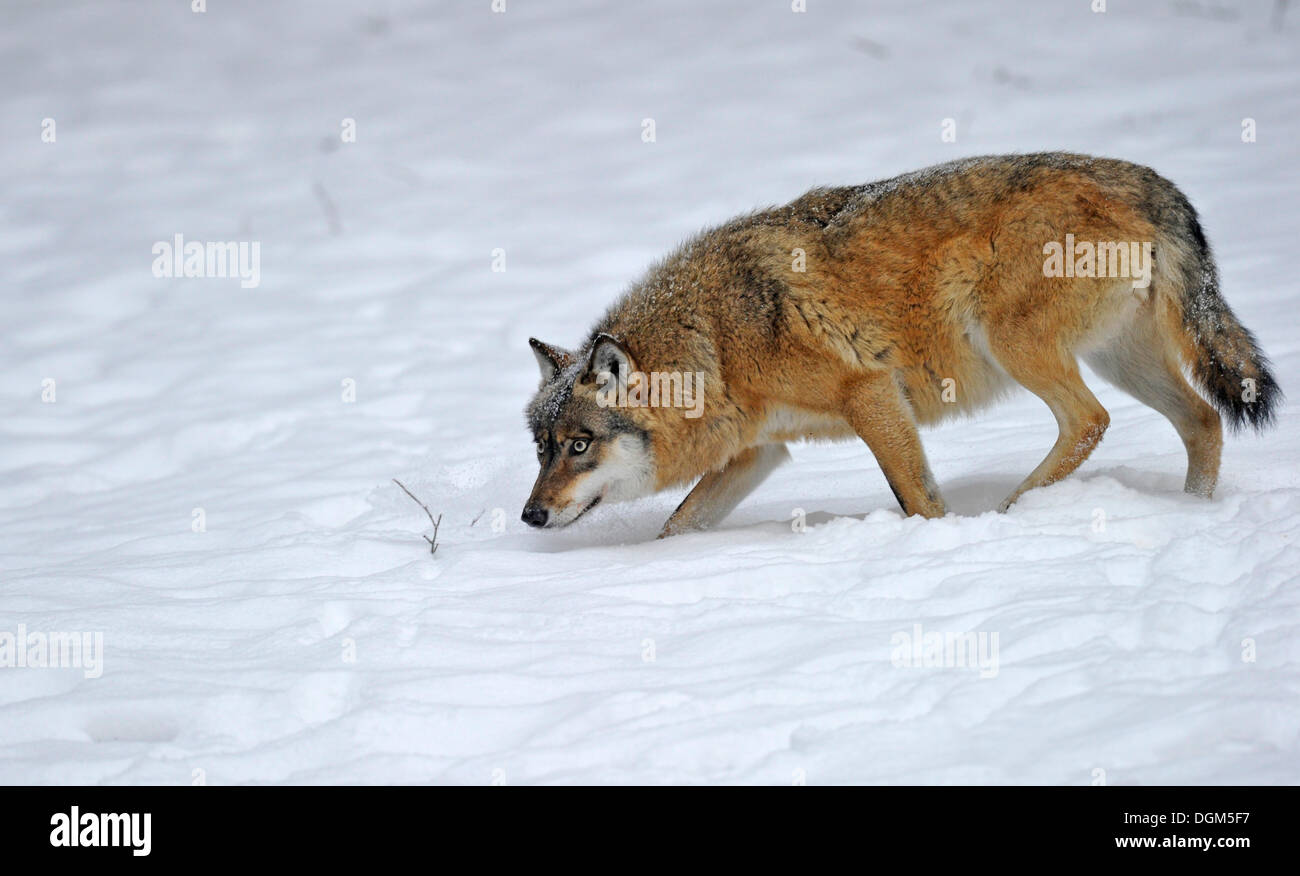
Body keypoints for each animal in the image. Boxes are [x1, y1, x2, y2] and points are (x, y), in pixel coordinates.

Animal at [523, 153, 1280, 537]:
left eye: (580, 445)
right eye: (542, 449)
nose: (530, 515)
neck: (714, 343)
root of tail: (1145, 178)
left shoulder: (870, 392)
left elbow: (916, 496)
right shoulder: (760, 451)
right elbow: (677, 526)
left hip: (1018, 346)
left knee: (1091, 421)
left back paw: (1014, 511)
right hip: (1119, 359)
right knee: (1203, 420)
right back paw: (1191, 510)